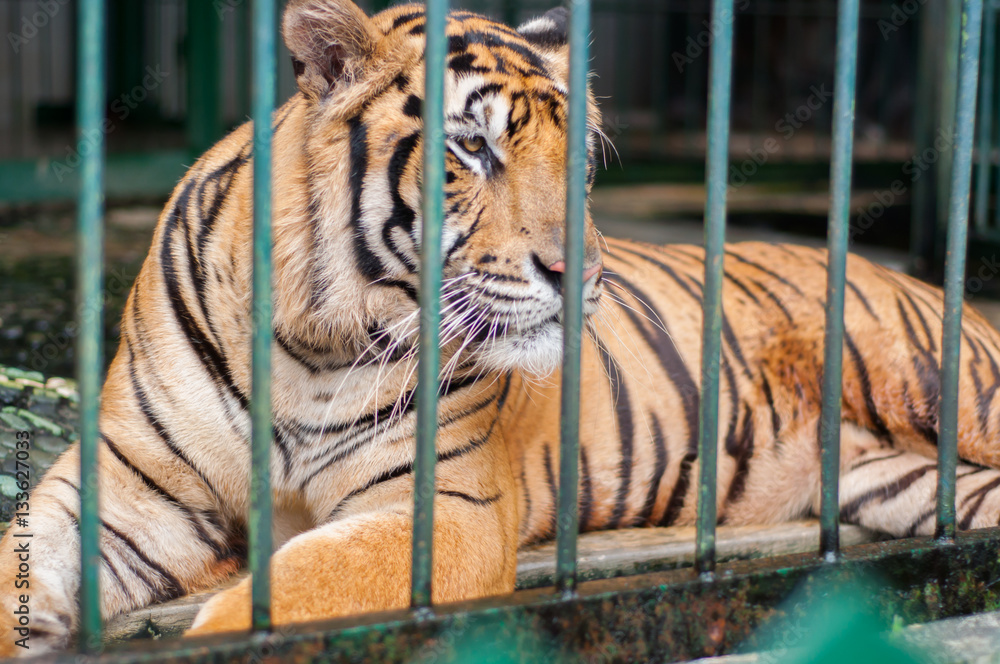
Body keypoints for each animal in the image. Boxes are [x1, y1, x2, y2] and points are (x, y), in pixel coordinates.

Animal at [3, 0, 1000, 655]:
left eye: (579, 162)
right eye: (473, 148)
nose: (581, 272)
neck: (313, 342)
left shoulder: (442, 510)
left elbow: (294, 588)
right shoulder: (127, 498)